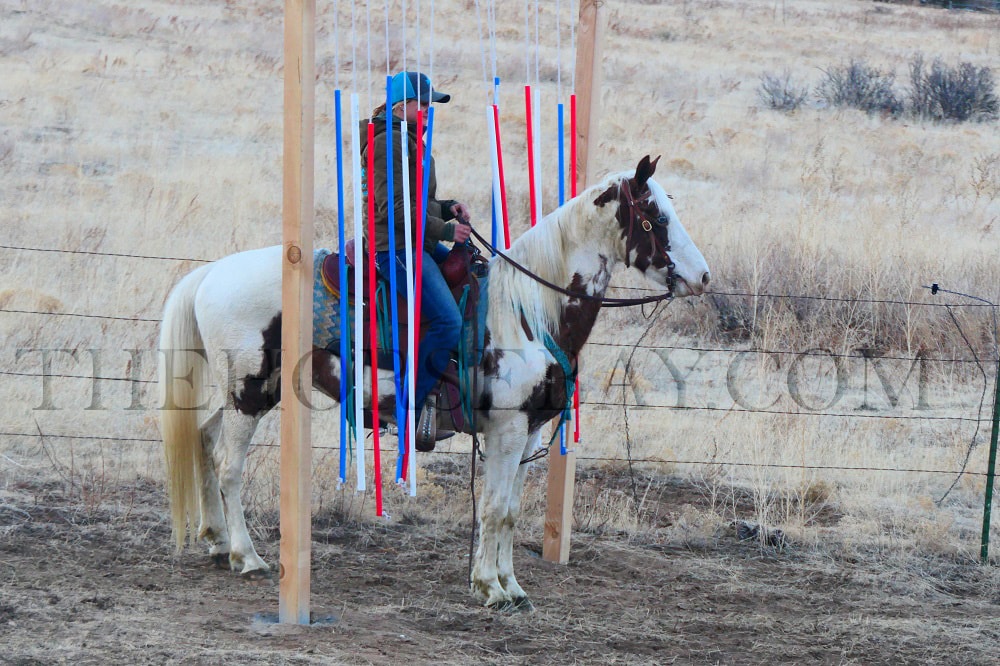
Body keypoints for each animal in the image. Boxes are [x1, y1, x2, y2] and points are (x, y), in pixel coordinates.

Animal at [159, 155, 710, 610]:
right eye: (656, 217)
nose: (703, 277)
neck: (528, 312)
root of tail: (209, 274)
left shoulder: (529, 430)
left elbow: (511, 510)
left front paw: (512, 587)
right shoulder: (506, 431)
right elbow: (493, 509)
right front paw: (489, 588)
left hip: (246, 394)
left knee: (203, 439)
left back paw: (215, 541)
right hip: (249, 393)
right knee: (229, 465)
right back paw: (246, 557)